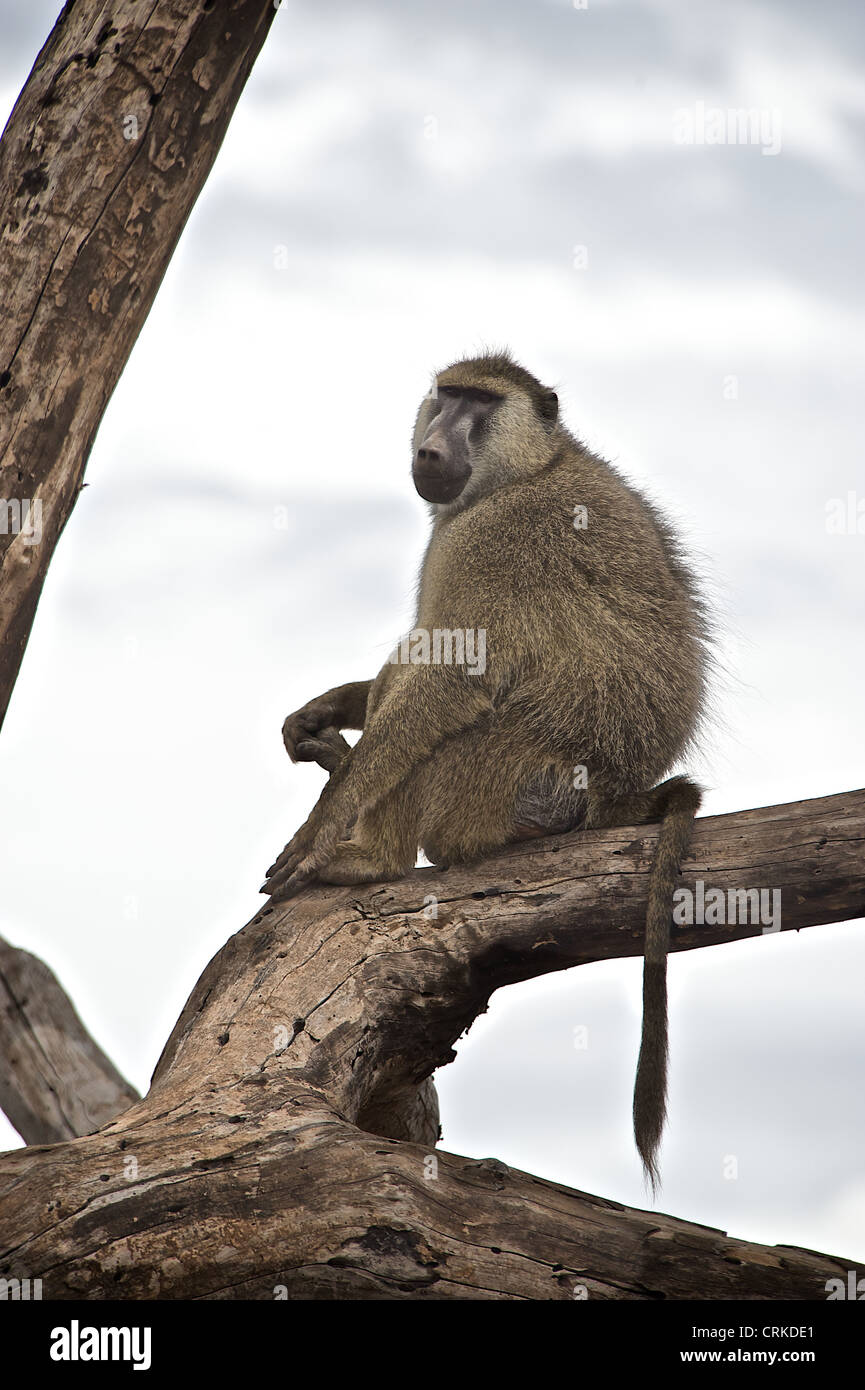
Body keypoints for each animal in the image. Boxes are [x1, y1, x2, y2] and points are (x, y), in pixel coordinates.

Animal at [262, 350, 709, 1190]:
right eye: (444, 396)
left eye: (480, 404)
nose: (430, 446)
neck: (527, 470)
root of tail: (617, 797)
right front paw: (324, 715)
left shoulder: (494, 541)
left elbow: (454, 671)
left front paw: (323, 823)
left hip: (509, 781)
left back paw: (369, 858)